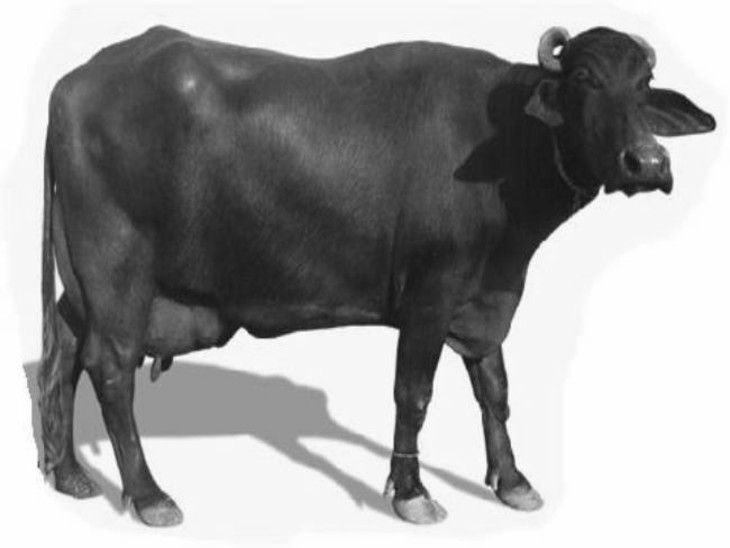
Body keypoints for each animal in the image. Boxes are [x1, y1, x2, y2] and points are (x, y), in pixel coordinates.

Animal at [37, 25, 715, 526]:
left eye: (644, 83)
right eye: (583, 79)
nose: (648, 161)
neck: (507, 145)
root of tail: (71, 84)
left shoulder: (486, 298)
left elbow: (495, 391)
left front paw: (513, 481)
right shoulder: (431, 295)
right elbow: (413, 393)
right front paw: (411, 492)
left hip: (81, 283)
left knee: (64, 349)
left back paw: (68, 472)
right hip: (117, 270)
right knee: (111, 367)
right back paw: (149, 495)